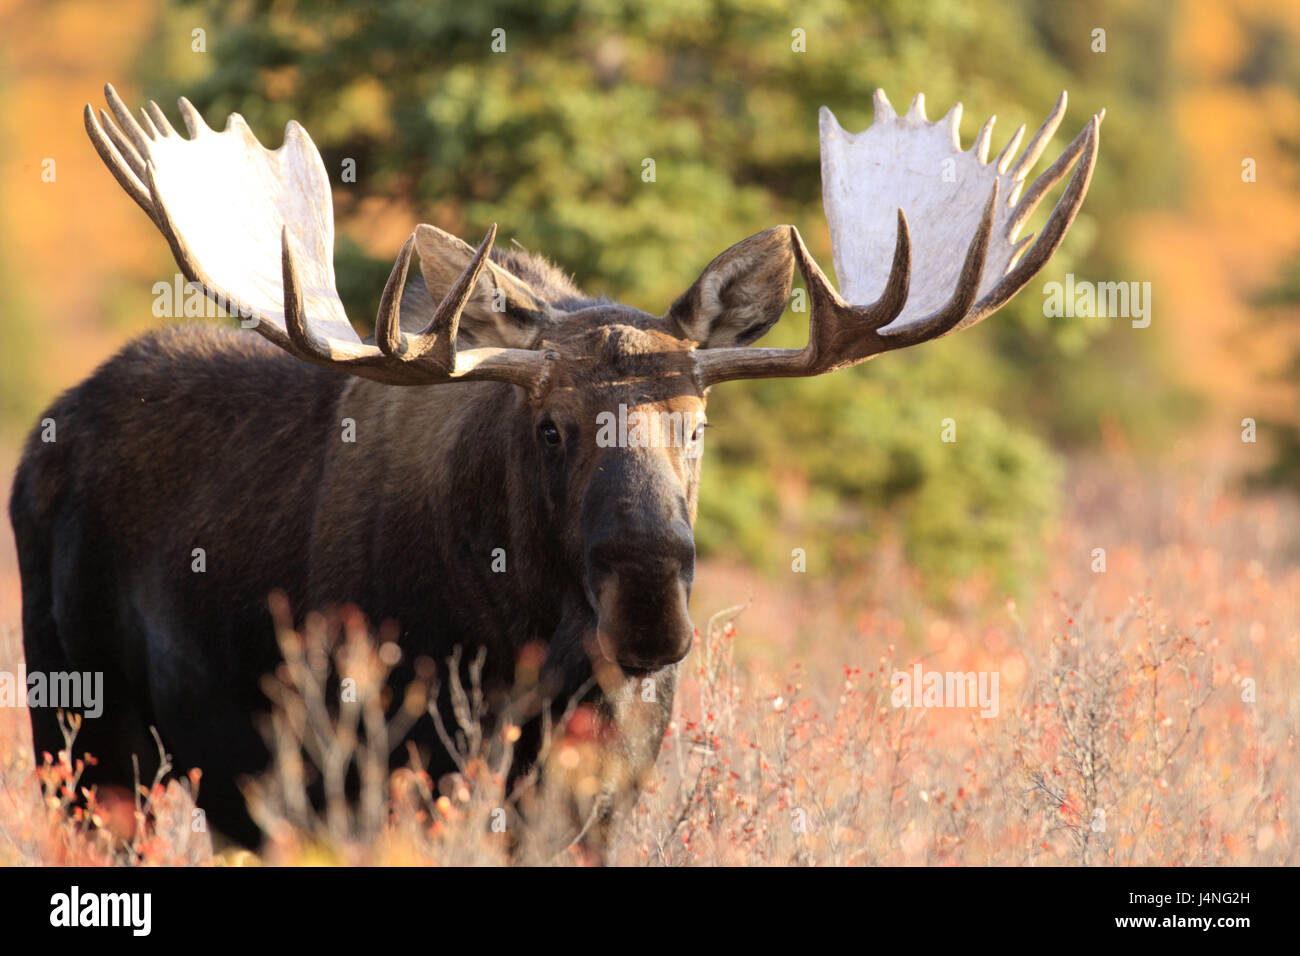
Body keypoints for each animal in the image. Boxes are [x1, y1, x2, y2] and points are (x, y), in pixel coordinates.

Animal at [9, 83, 1100, 853]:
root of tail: (44, 433)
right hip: (86, 733)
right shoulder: (382, 772)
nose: (649, 599)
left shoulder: (598, 796)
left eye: (698, 423)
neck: (529, 657)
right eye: (548, 428)